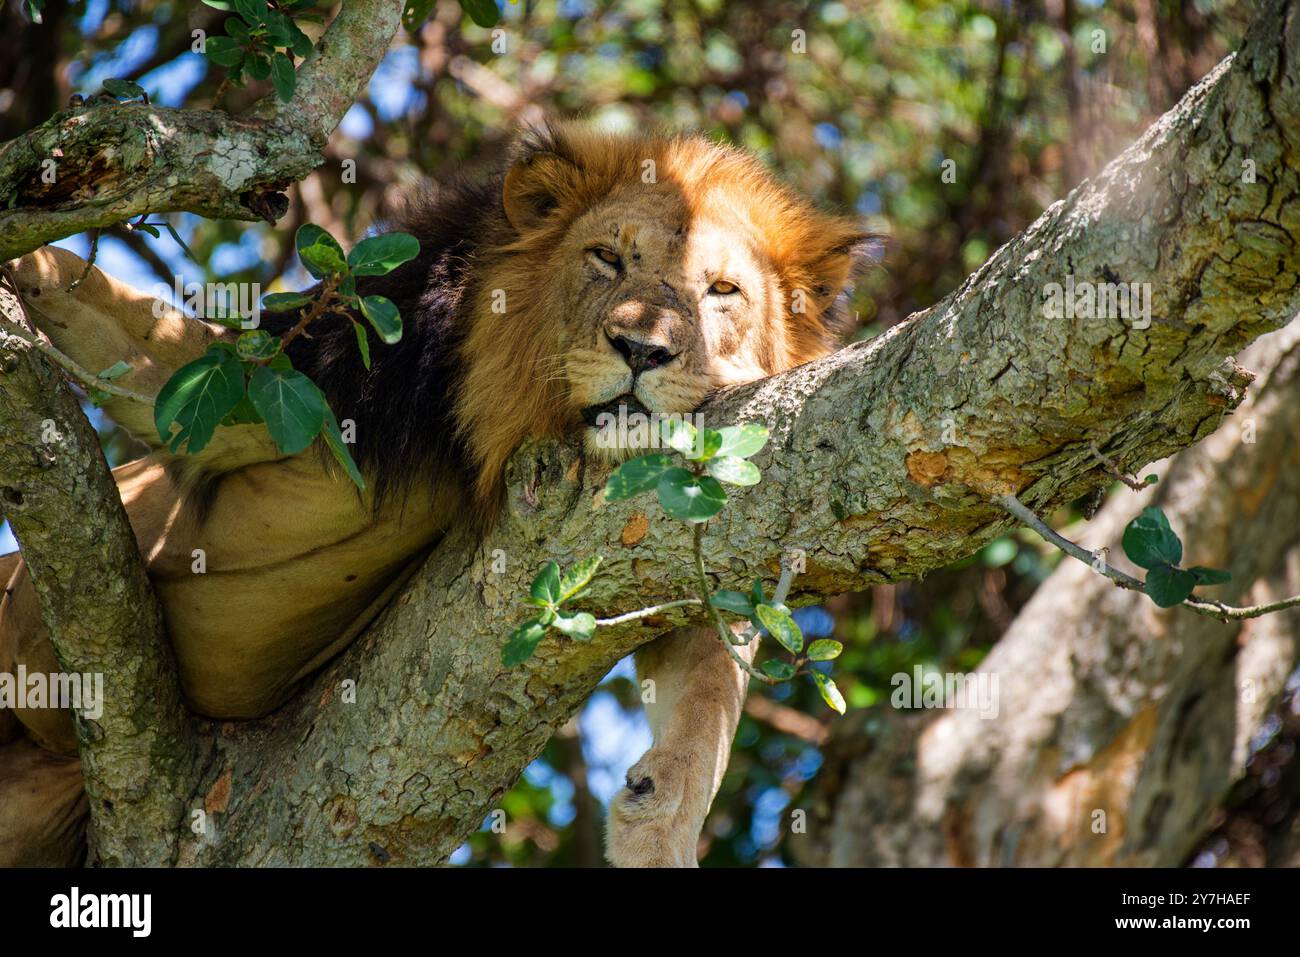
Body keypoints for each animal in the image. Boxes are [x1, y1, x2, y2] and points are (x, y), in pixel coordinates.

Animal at [0, 120, 864, 867]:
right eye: (605, 258)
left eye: (721, 290)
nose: (640, 348)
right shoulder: (289, 379)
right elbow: (108, 310)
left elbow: (711, 692)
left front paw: (660, 828)